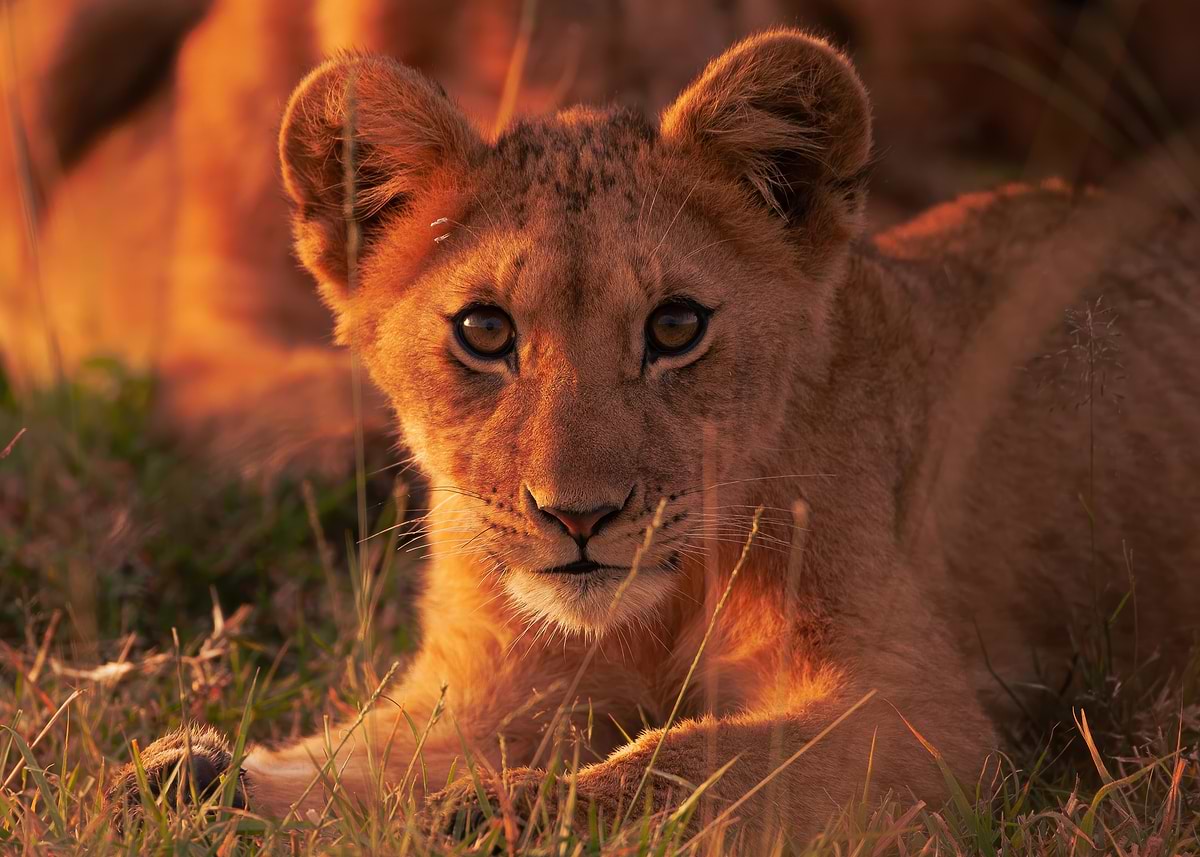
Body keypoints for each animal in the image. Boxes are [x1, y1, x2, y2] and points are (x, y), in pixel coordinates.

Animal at [106, 29, 1199, 841]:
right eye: (485, 331)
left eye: (676, 327)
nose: (580, 517)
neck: (655, 612)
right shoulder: (484, 687)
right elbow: (359, 761)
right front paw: (190, 777)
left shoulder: (926, 717)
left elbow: (690, 763)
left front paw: (494, 814)